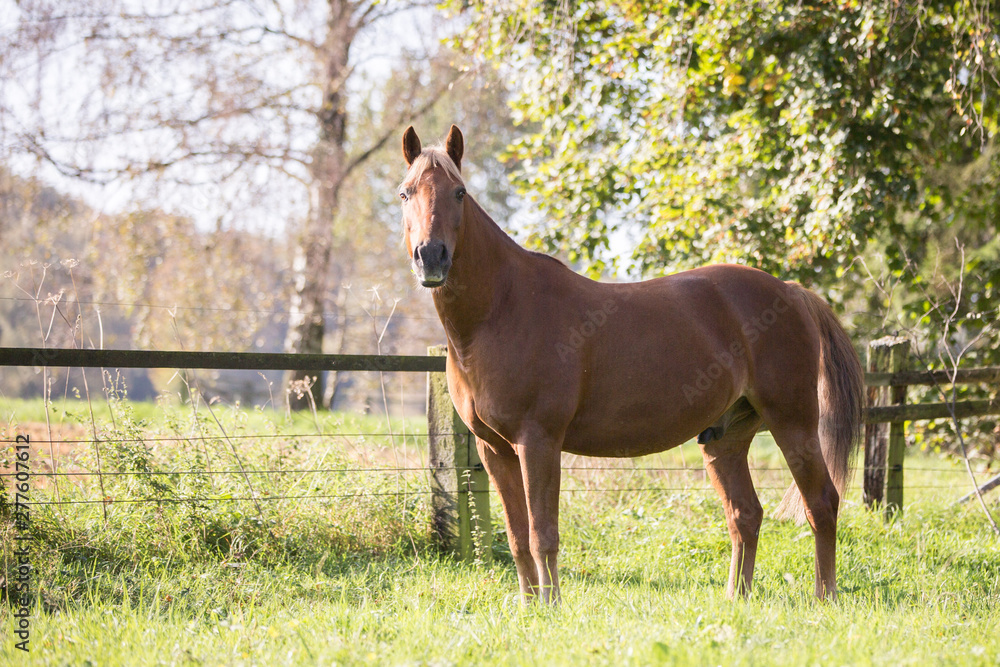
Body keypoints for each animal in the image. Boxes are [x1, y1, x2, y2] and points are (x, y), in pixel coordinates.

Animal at [398, 124, 864, 603]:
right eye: (405, 192)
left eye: (459, 192)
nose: (430, 257)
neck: (501, 310)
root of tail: (790, 290)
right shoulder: (494, 449)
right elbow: (516, 536)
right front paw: (530, 605)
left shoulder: (538, 441)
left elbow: (542, 534)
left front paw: (552, 606)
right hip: (727, 437)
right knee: (746, 513)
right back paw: (737, 596)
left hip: (793, 423)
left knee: (821, 503)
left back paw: (824, 597)